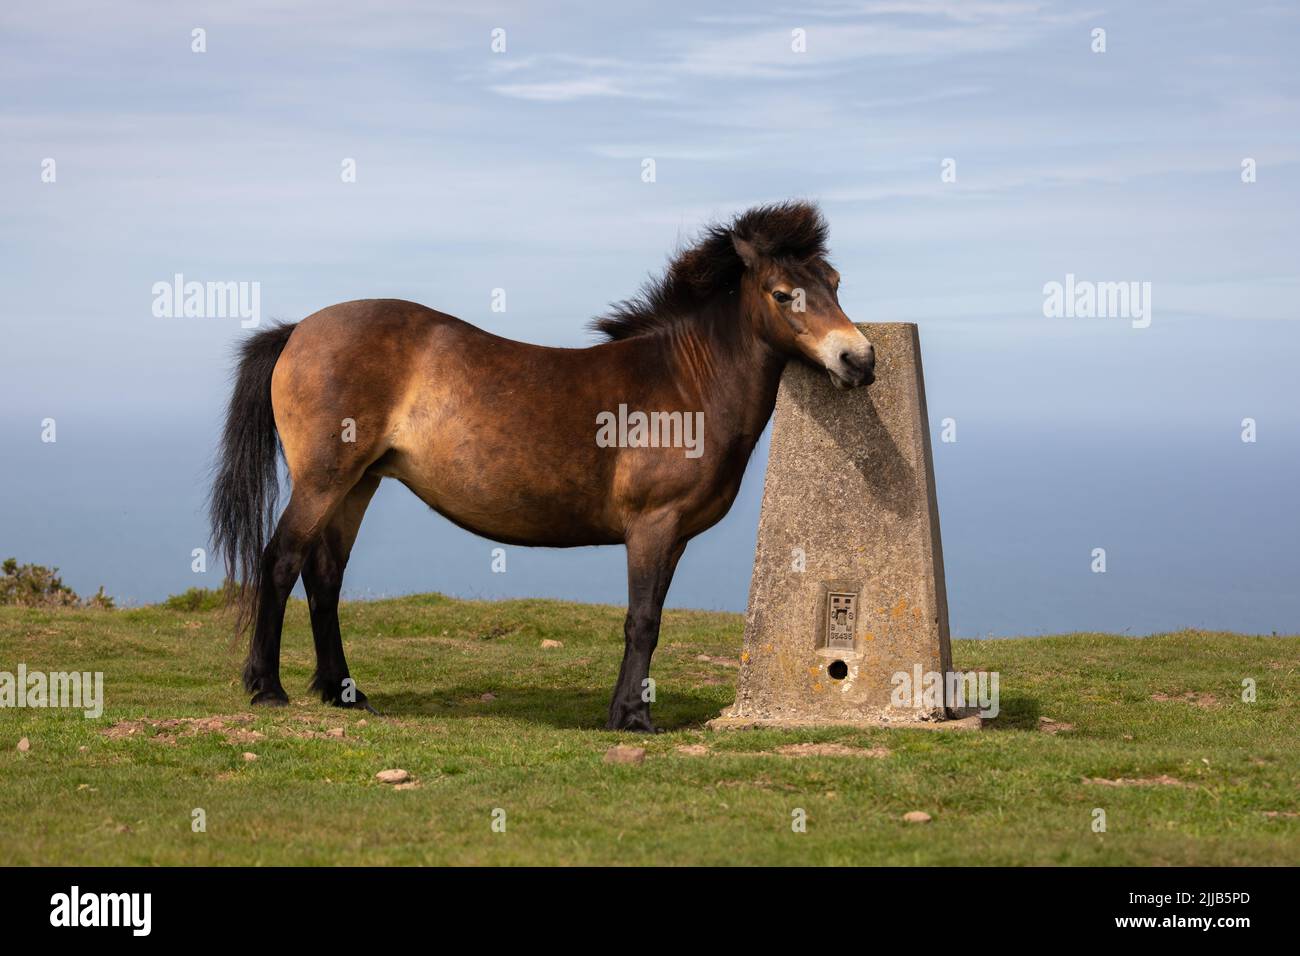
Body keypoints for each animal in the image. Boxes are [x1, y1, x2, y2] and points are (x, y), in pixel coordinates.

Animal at [209, 200, 874, 732]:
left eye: (835, 281)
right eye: (782, 294)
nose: (860, 359)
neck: (686, 383)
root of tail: (299, 330)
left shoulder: (675, 537)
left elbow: (650, 619)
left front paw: (624, 710)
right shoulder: (652, 527)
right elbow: (642, 621)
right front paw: (632, 717)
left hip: (358, 484)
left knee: (324, 576)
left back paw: (344, 694)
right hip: (323, 481)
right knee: (281, 561)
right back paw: (267, 688)